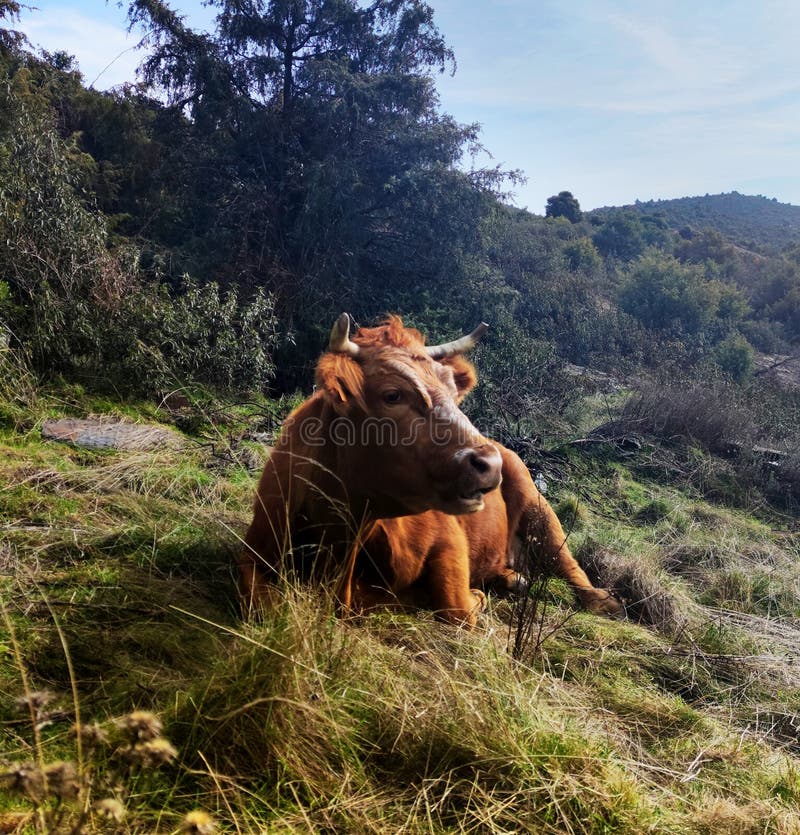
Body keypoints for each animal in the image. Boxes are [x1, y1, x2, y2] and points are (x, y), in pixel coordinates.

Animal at [239, 314, 620, 626]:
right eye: (393, 395)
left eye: (453, 391)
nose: (489, 465)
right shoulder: (256, 549)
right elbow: (261, 602)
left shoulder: (449, 541)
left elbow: (457, 607)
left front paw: (473, 596)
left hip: (538, 508)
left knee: (566, 561)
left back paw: (601, 600)